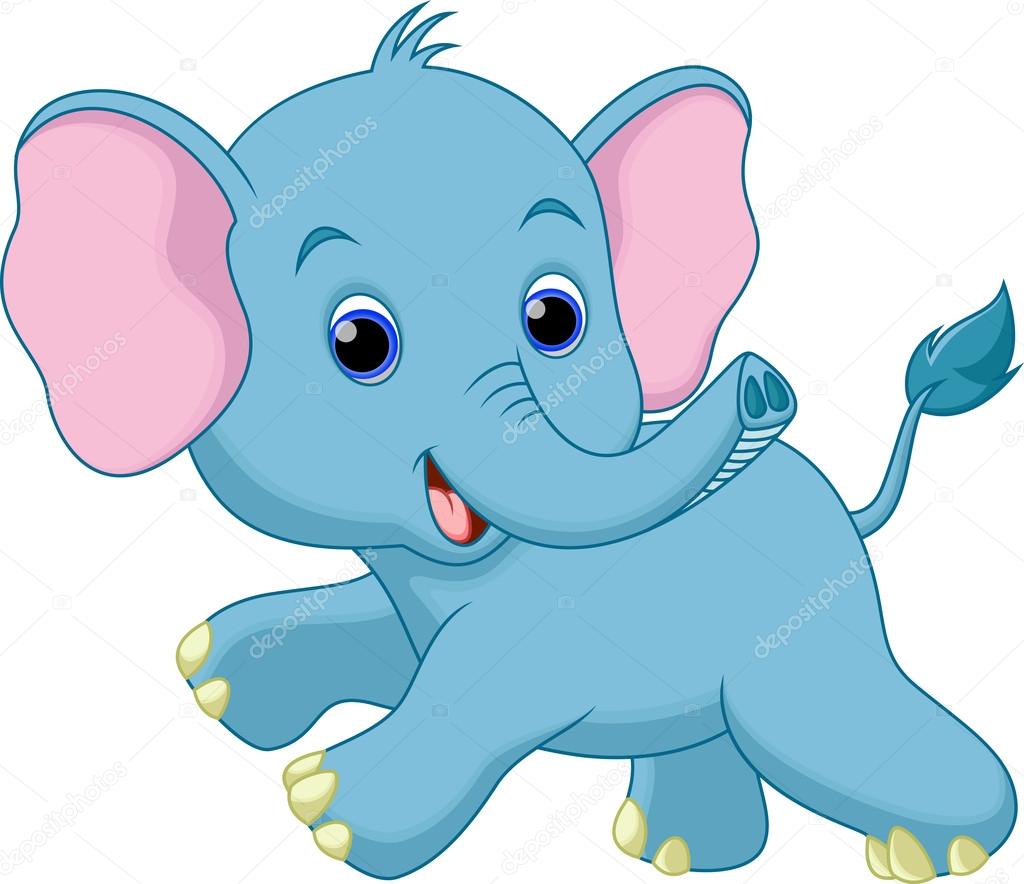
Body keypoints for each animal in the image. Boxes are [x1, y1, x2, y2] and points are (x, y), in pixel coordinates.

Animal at [2, 5, 1019, 880]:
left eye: (555, 318)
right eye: (359, 343)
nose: (761, 383)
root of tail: (847, 508)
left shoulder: (556, 624)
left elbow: (492, 677)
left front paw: (324, 805)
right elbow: (387, 637)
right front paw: (215, 671)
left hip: (811, 631)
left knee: (825, 724)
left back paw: (933, 847)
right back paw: (674, 849)